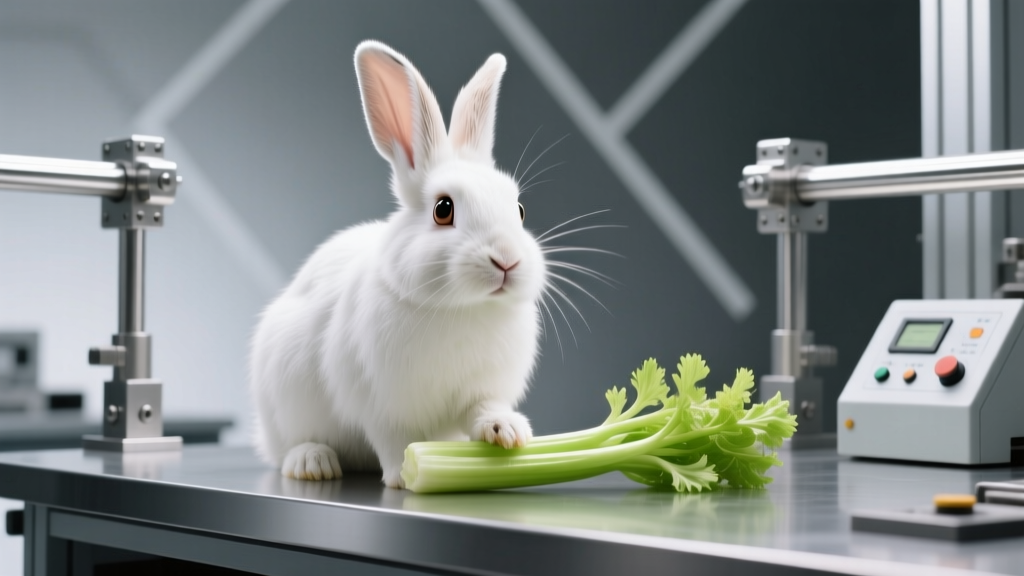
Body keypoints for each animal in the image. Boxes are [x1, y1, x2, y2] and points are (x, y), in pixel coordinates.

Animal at [249, 40, 546, 489]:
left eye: (520, 210)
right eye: (443, 209)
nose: (507, 260)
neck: (462, 309)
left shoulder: (482, 388)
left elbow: (483, 409)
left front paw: (508, 432)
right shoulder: (380, 404)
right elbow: (395, 440)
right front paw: (405, 475)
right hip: (284, 397)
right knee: (288, 447)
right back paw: (313, 462)